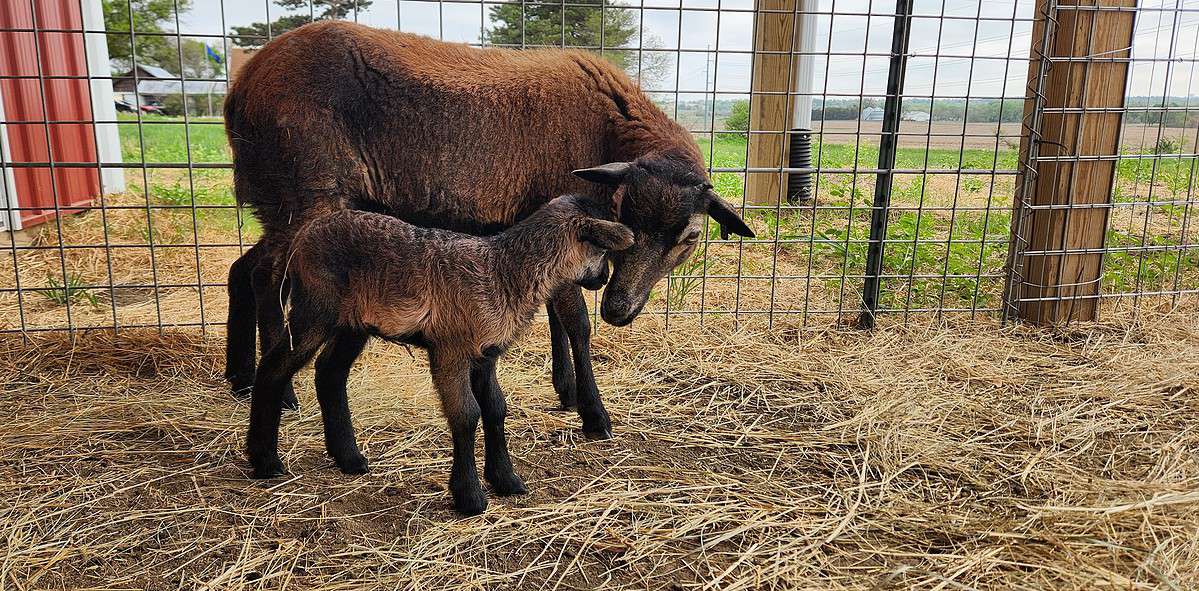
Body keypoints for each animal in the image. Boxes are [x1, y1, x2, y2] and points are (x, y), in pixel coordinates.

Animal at [223, 20, 755, 438]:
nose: (619, 310)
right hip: (305, 191)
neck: (609, 130)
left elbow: (555, 313)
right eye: (623, 212)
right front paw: (594, 414)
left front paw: (565, 389)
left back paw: (241, 377)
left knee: (241, 268)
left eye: (689, 238)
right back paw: (281, 392)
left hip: (278, 198)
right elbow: (576, 324)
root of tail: (242, 84)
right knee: (267, 277)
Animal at [246, 193, 635, 515]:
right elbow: (466, 414)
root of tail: (303, 236)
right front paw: (470, 497)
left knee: (329, 372)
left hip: (352, 322)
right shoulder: (451, 349)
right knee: (273, 368)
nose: (601, 281)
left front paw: (506, 480)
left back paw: (350, 459)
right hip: (315, 307)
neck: (504, 272)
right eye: (602, 251)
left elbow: (496, 408)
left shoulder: (486, 355)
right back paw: (265, 461)